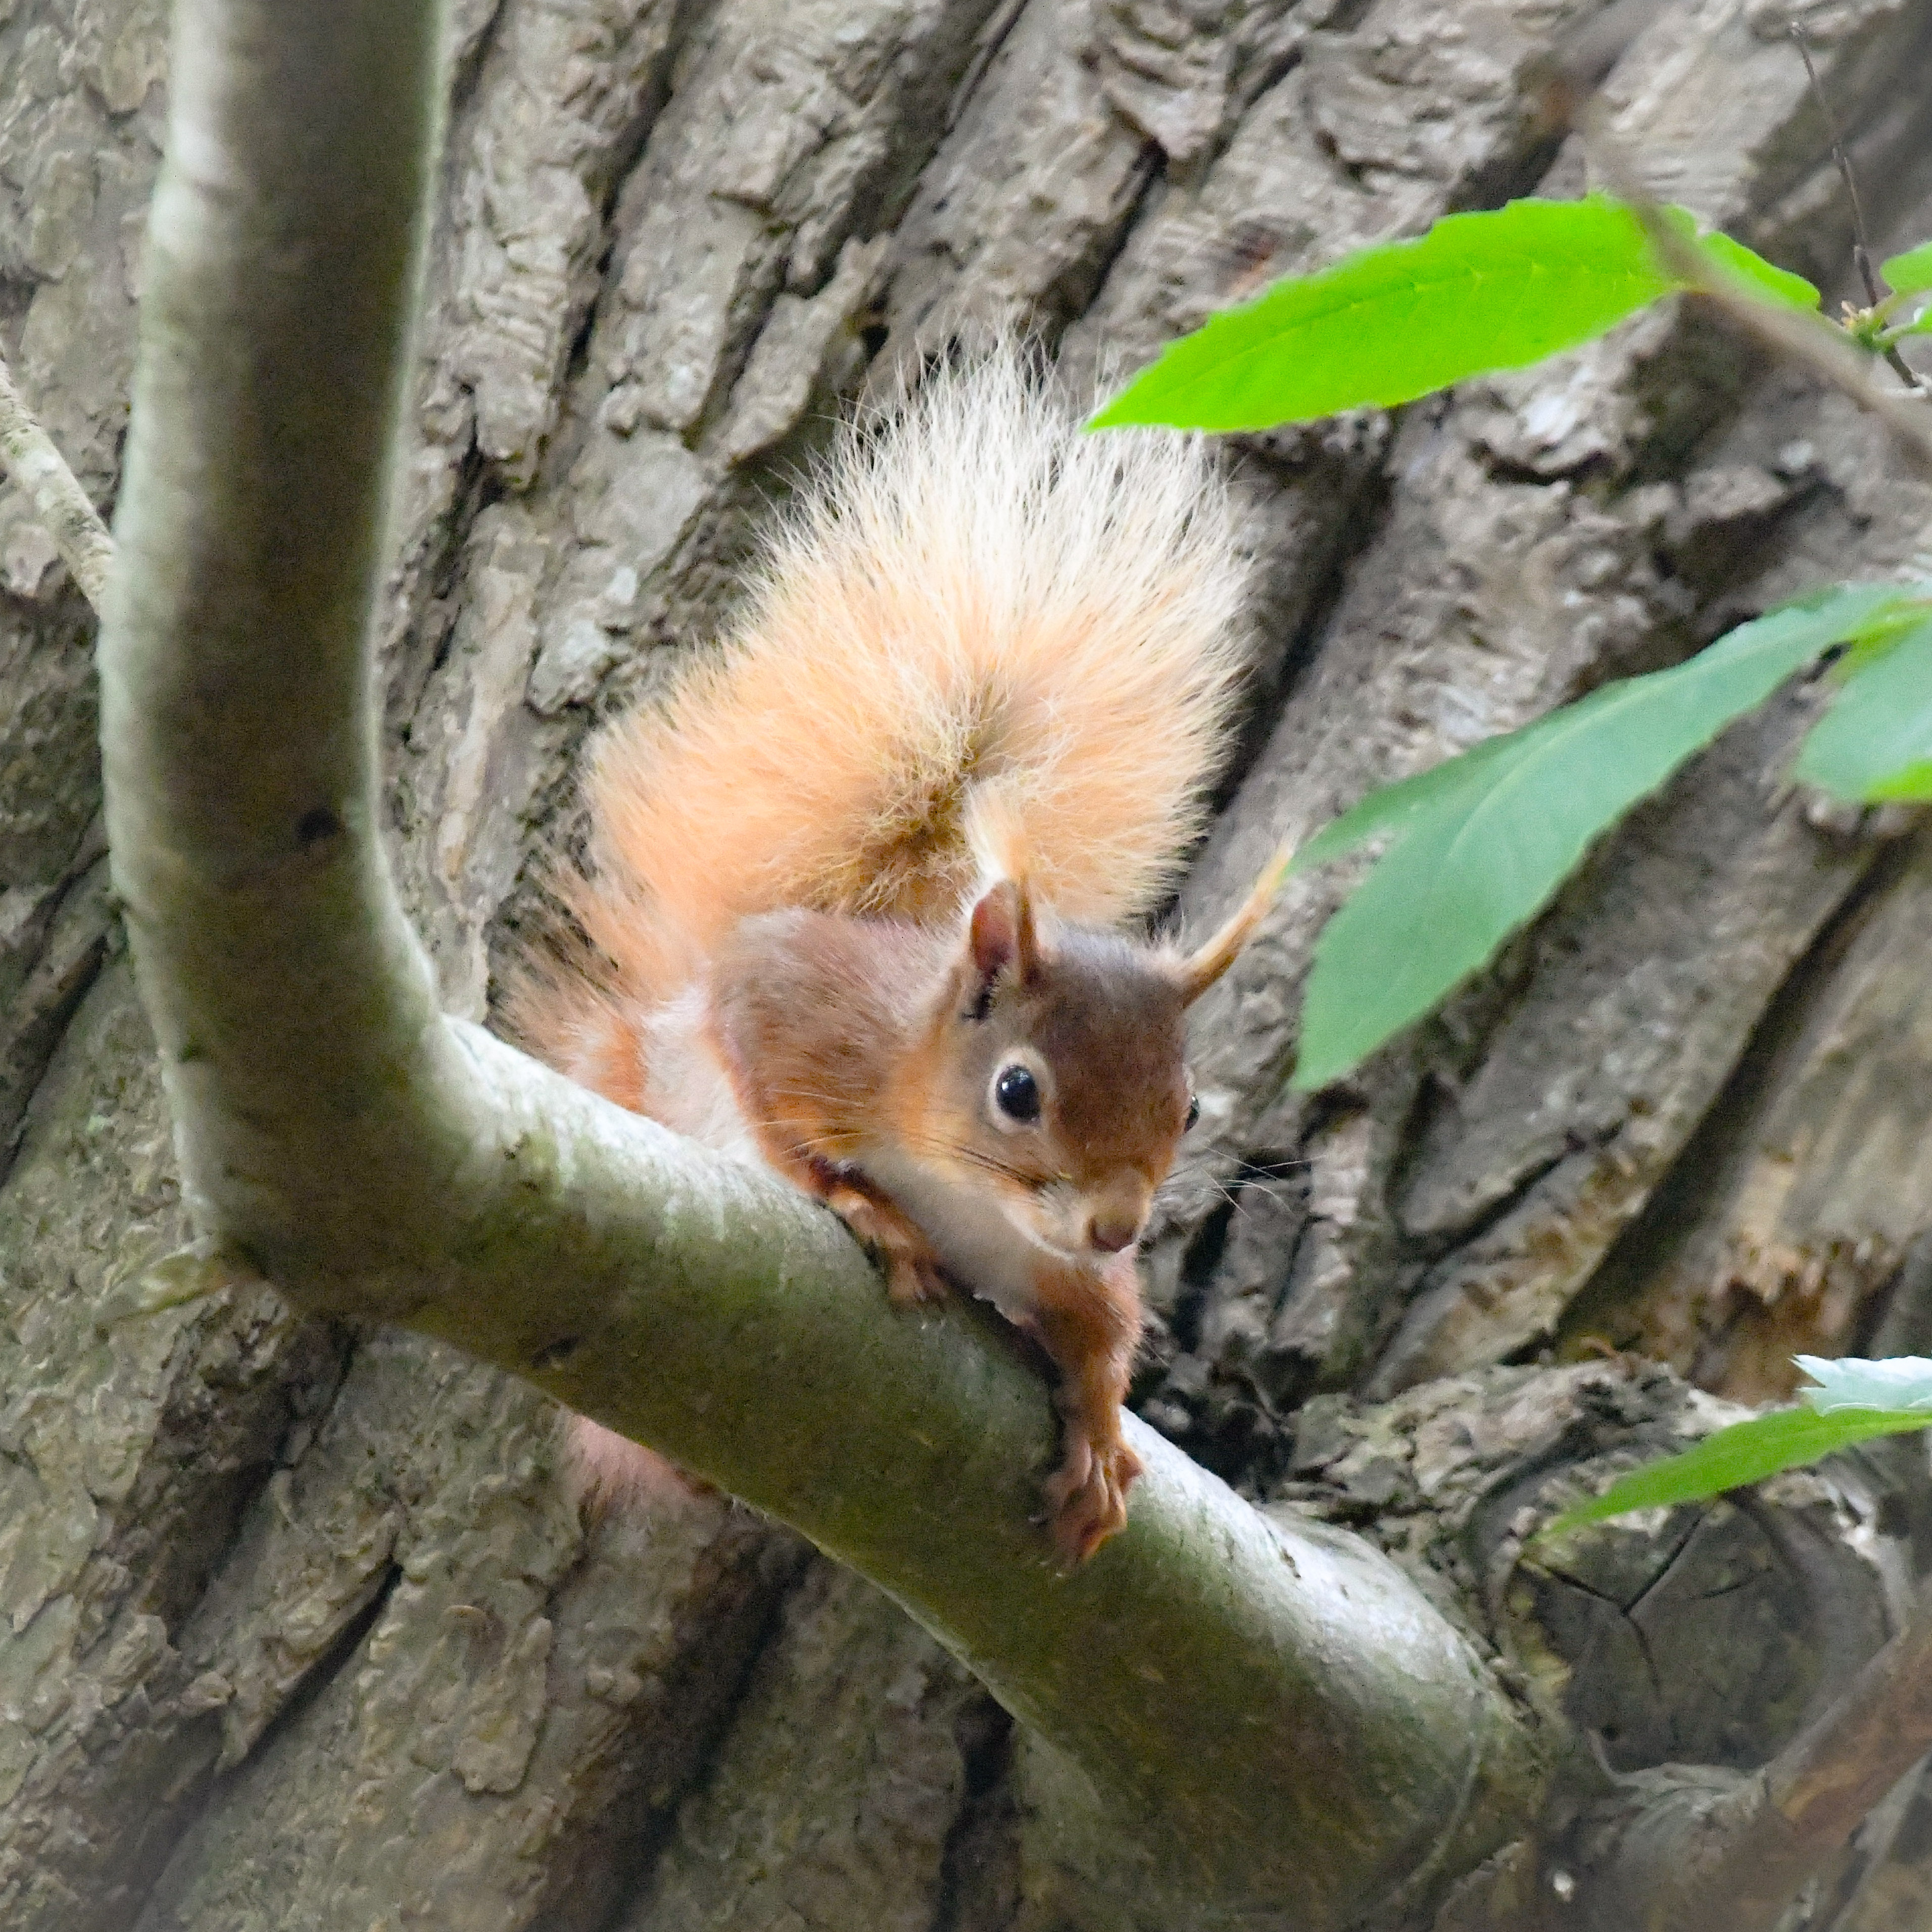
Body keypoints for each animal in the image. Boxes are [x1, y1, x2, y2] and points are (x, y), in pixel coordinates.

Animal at [515, 351, 1283, 1566]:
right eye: (1017, 1090)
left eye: (1191, 1105)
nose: (1117, 1224)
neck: (970, 1196)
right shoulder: (805, 1014)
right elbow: (770, 1089)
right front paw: (859, 1202)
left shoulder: (1060, 1267)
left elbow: (1105, 1328)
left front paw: (1102, 1434)